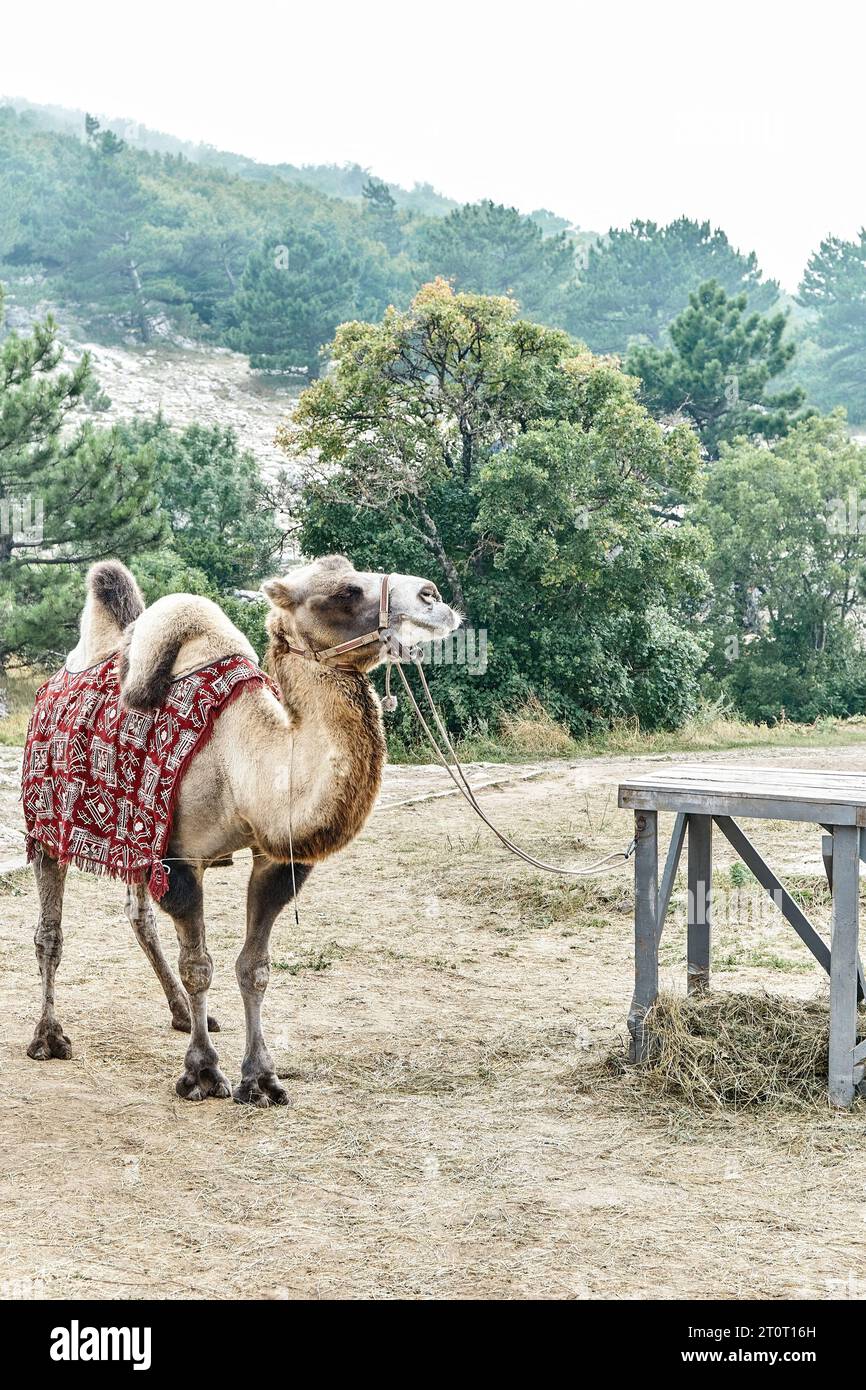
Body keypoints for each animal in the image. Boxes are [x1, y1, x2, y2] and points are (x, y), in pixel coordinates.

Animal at [27, 555, 461, 1105]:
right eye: (345, 591)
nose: (433, 596)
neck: (244, 762)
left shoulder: (276, 859)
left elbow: (254, 968)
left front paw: (261, 1078)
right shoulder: (178, 858)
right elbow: (199, 965)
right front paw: (202, 1072)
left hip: (134, 839)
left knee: (139, 917)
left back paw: (181, 1015)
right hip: (48, 825)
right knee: (51, 933)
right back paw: (48, 1037)